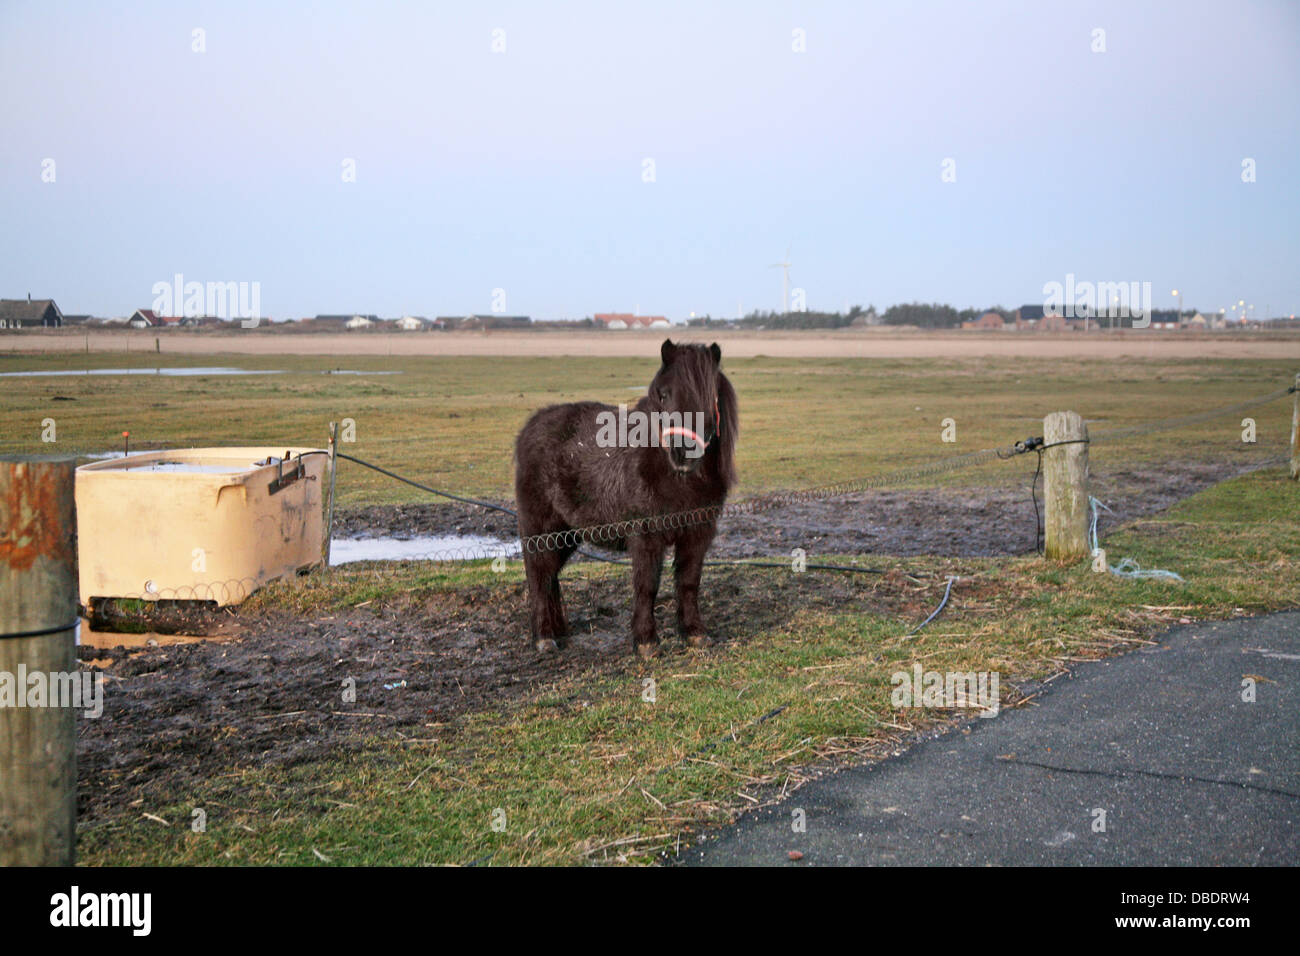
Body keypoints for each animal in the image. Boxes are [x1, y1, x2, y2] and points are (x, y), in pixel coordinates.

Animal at [514, 339, 739, 657]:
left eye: (709, 396)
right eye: (663, 394)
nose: (683, 453)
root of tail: (530, 428)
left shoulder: (698, 533)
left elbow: (689, 581)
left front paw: (694, 632)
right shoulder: (646, 536)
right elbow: (647, 584)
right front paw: (646, 642)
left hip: (567, 534)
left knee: (550, 574)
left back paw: (558, 631)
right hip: (540, 528)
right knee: (538, 575)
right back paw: (544, 637)